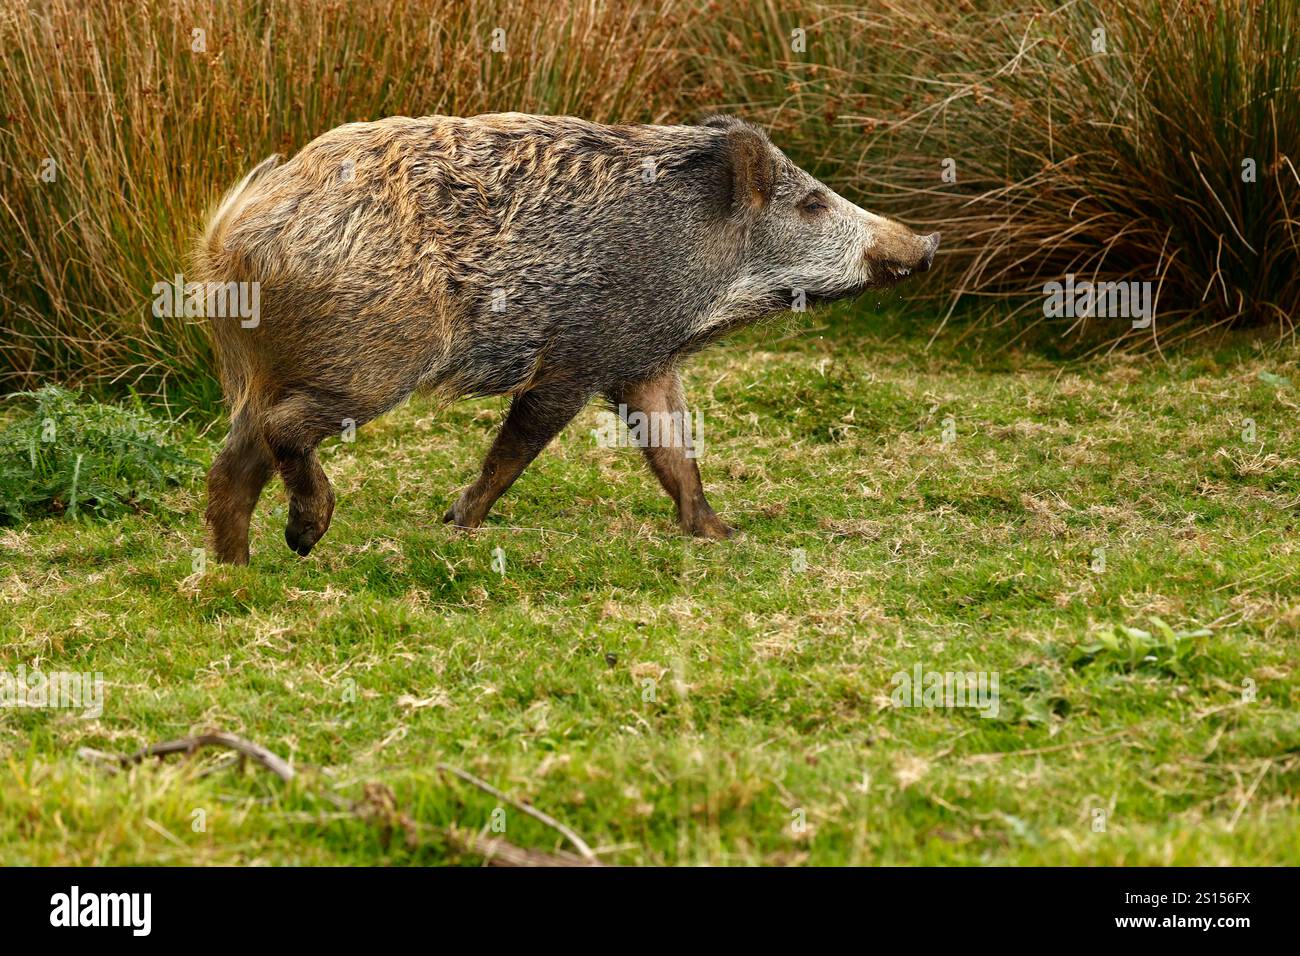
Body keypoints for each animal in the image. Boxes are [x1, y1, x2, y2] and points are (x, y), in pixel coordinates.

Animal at [196, 113, 939, 564]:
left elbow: (676, 454)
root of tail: (232, 230)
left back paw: (240, 570)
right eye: (812, 204)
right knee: (281, 433)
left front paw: (723, 534)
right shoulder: (576, 358)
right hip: (371, 364)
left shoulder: (644, 361)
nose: (928, 243)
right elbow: (515, 451)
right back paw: (303, 539)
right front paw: (457, 524)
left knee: (234, 464)